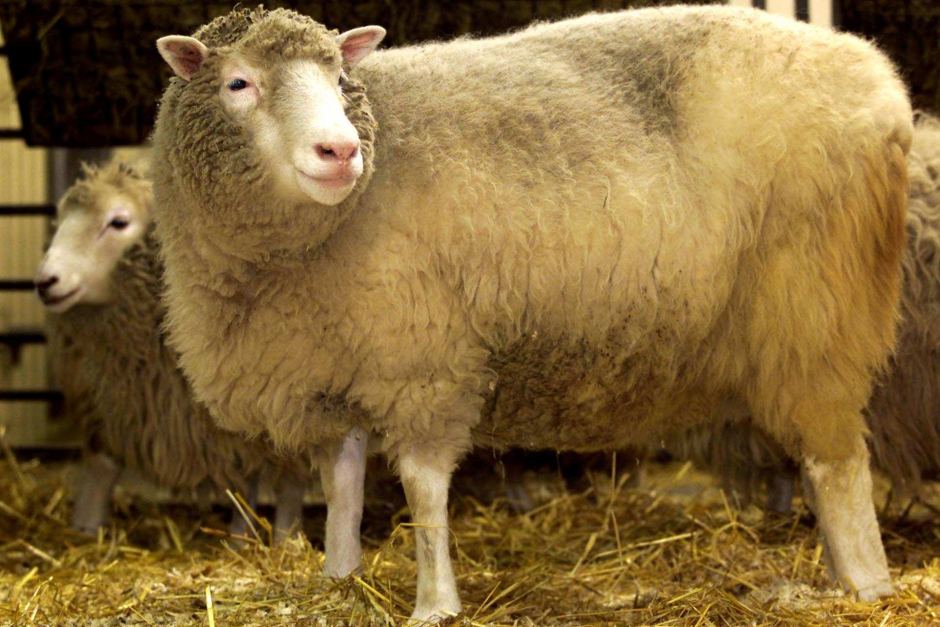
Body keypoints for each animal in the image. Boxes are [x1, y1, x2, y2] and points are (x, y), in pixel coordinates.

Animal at [36, 159, 308, 541]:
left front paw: (283, 541)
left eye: (118, 222)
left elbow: (289, 487)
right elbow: (101, 469)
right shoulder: (113, 401)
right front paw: (85, 528)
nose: (45, 281)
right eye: (60, 219)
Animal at [151, 5, 912, 620]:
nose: (340, 150)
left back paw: (866, 585)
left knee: (839, 462)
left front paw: (435, 604)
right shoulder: (332, 366)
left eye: (340, 79)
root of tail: (880, 79)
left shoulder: (426, 360)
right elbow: (342, 486)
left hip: (814, 309)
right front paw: (339, 577)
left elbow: (424, 490)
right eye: (238, 83)